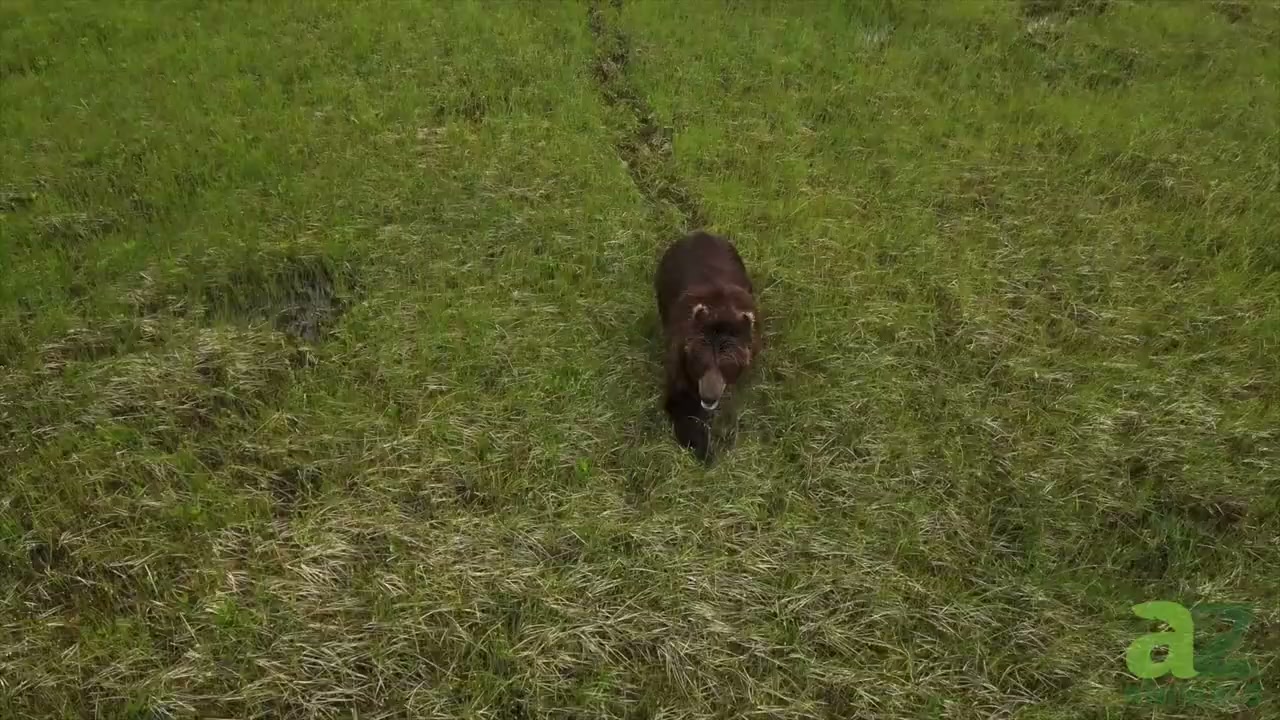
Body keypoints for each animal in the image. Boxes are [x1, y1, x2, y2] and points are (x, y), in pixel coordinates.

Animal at [654, 230, 762, 462]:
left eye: (727, 364)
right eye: (699, 360)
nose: (709, 397)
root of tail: (699, 233)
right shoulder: (679, 358)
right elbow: (681, 403)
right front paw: (703, 448)